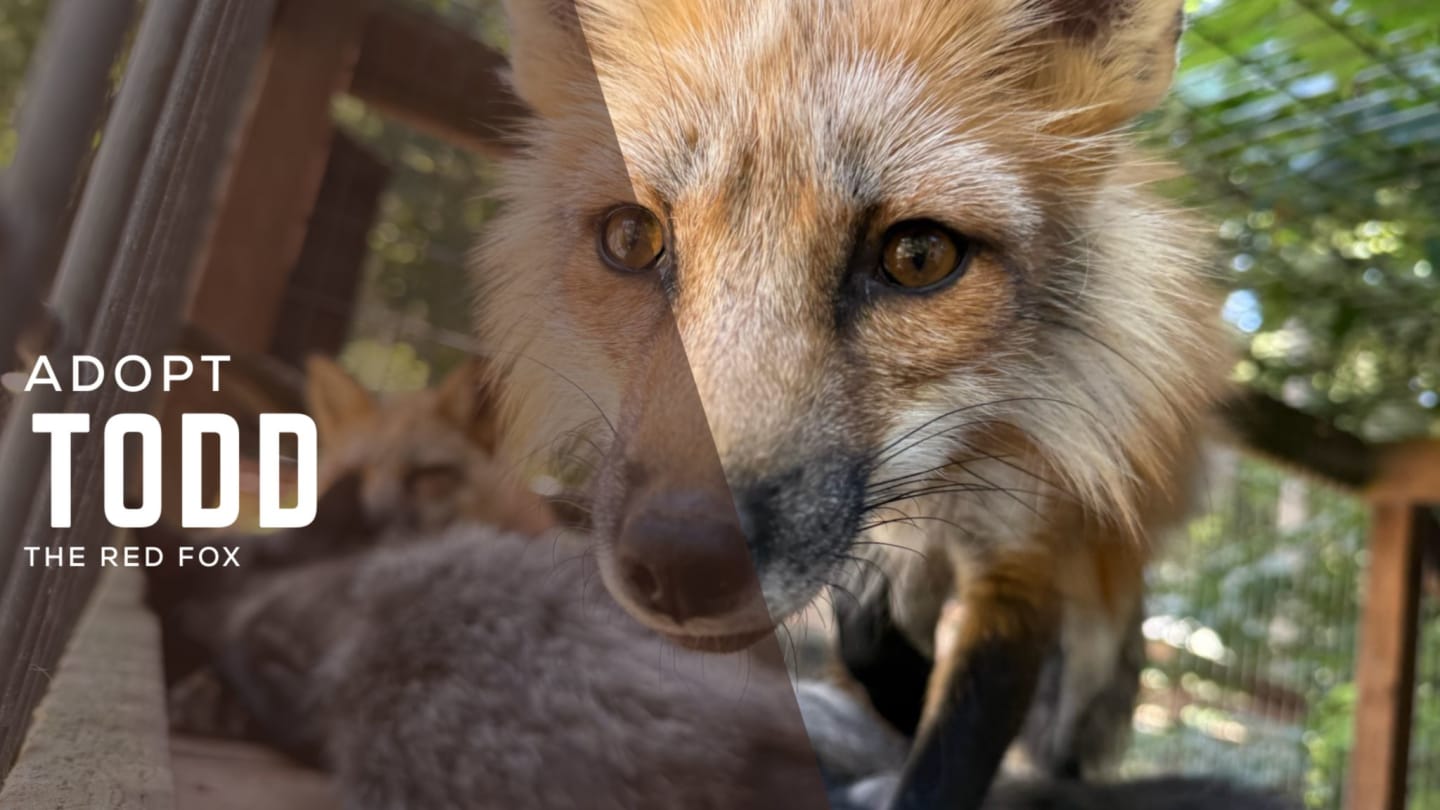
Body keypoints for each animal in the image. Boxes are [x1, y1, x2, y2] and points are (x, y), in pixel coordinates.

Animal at [474, 0, 1230, 806]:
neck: (939, 480)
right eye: (631, 237)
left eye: (920, 256)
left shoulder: (1023, 545)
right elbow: (867, 630)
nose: (681, 561)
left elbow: (949, 765)